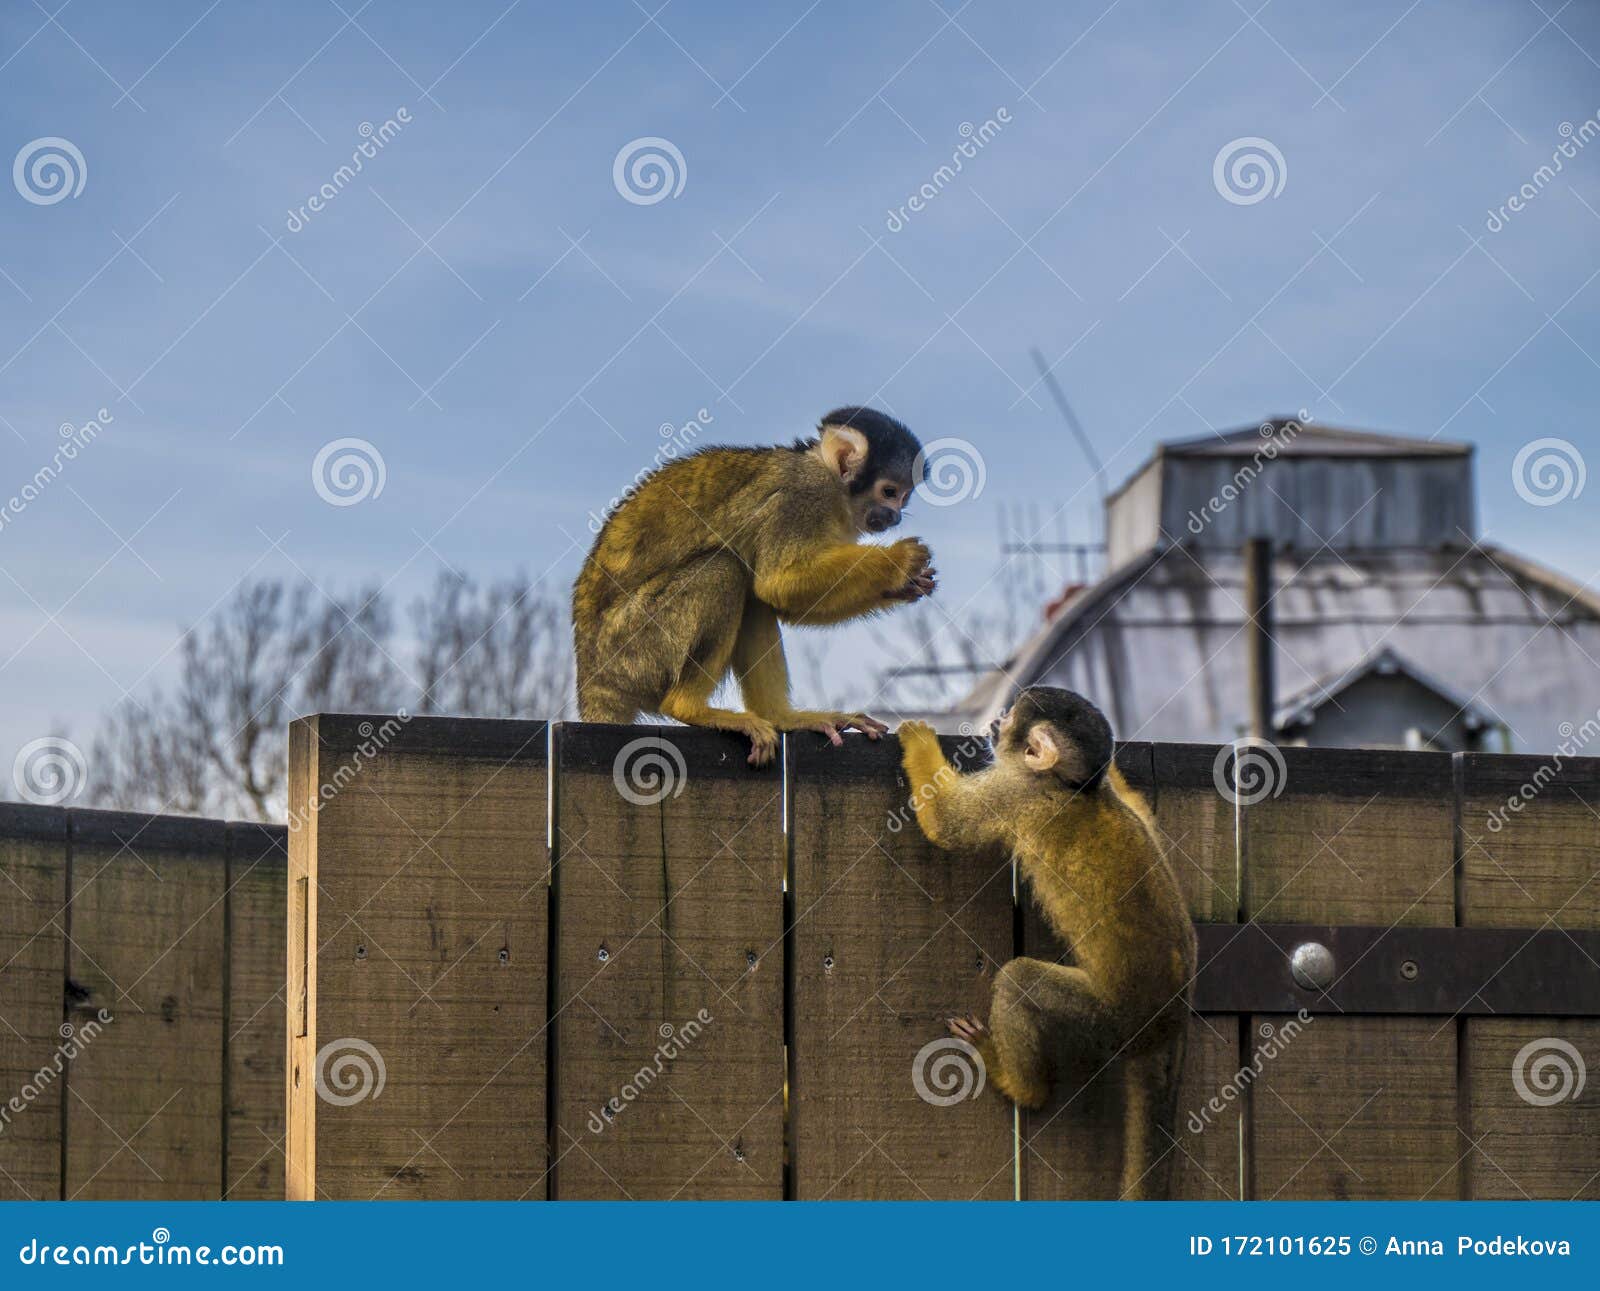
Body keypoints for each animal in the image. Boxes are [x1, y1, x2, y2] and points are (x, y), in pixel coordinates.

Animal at [573, 406, 938, 766]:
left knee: (750, 592)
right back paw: (689, 706)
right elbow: (778, 583)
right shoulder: (802, 498)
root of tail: (593, 683)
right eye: (889, 492)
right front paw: (899, 561)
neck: (833, 485)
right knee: (726, 569)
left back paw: (781, 717)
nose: (895, 516)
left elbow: (778, 600)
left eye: (903, 498)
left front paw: (904, 585)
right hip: (633, 651)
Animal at [897, 687, 1196, 1200]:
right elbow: (1143, 818)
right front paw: (1118, 774)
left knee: (1021, 984)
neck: (1071, 788)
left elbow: (947, 825)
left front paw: (916, 739)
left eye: (1009, 720)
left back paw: (1021, 1086)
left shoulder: (1016, 794)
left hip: (1106, 1022)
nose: (994, 724)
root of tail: (1167, 1023)